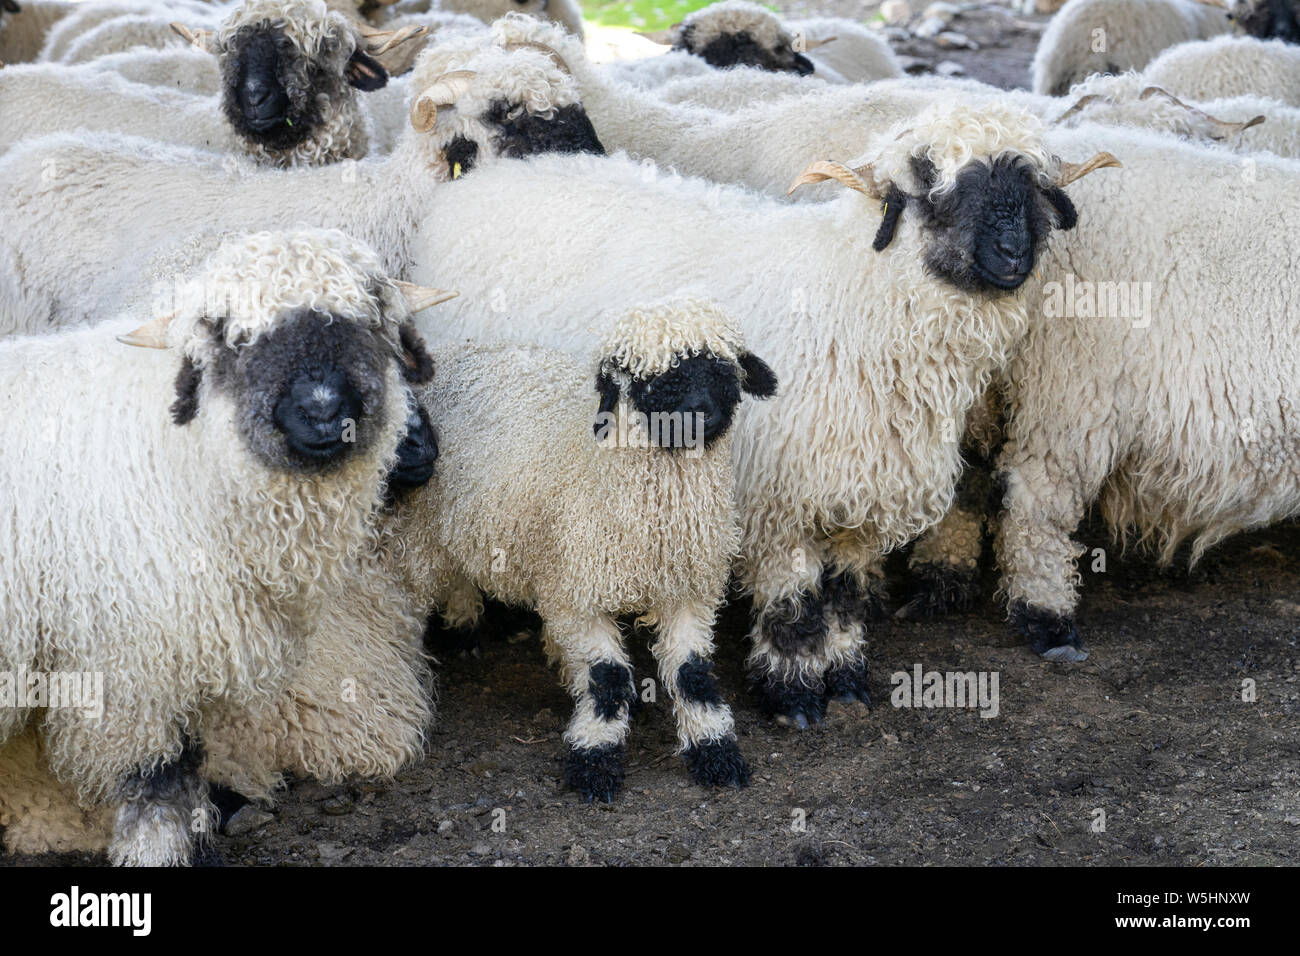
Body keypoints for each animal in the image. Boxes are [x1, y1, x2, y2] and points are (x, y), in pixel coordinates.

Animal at [0, 228, 440, 865]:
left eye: (368, 322)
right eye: (235, 339)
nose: (324, 412)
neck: (182, 457)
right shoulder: (128, 657)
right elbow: (156, 776)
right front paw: (156, 848)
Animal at [388, 301, 776, 799]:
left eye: (724, 368)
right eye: (646, 378)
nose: (700, 416)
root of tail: (455, 352)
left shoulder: (688, 590)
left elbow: (692, 675)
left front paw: (716, 753)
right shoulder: (579, 594)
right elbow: (606, 679)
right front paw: (596, 761)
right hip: (420, 529)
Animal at [402, 102, 1116, 726]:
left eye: (1033, 187)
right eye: (929, 190)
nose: (1012, 253)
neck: (854, 305)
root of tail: (481, 184)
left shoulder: (859, 495)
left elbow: (845, 599)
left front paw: (847, 683)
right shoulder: (779, 499)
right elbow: (794, 606)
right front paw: (794, 695)